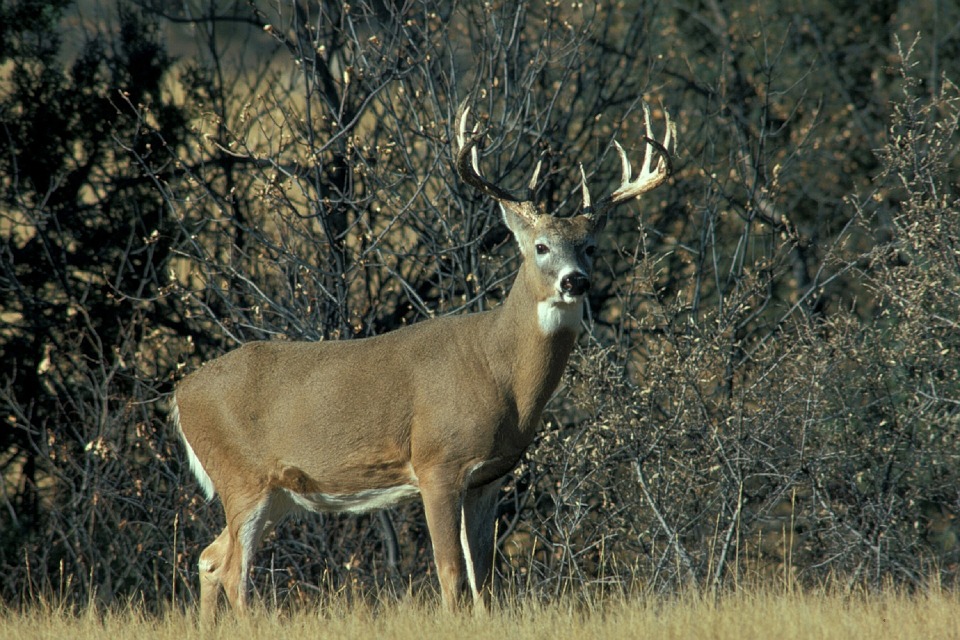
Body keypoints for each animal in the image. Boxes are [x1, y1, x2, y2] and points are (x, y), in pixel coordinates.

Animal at [173, 100, 675, 623]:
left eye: (590, 247)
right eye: (540, 246)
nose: (575, 280)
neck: (498, 371)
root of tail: (179, 395)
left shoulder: (489, 478)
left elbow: (485, 575)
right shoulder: (437, 462)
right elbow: (449, 570)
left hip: (276, 493)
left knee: (210, 557)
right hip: (242, 476)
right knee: (234, 568)